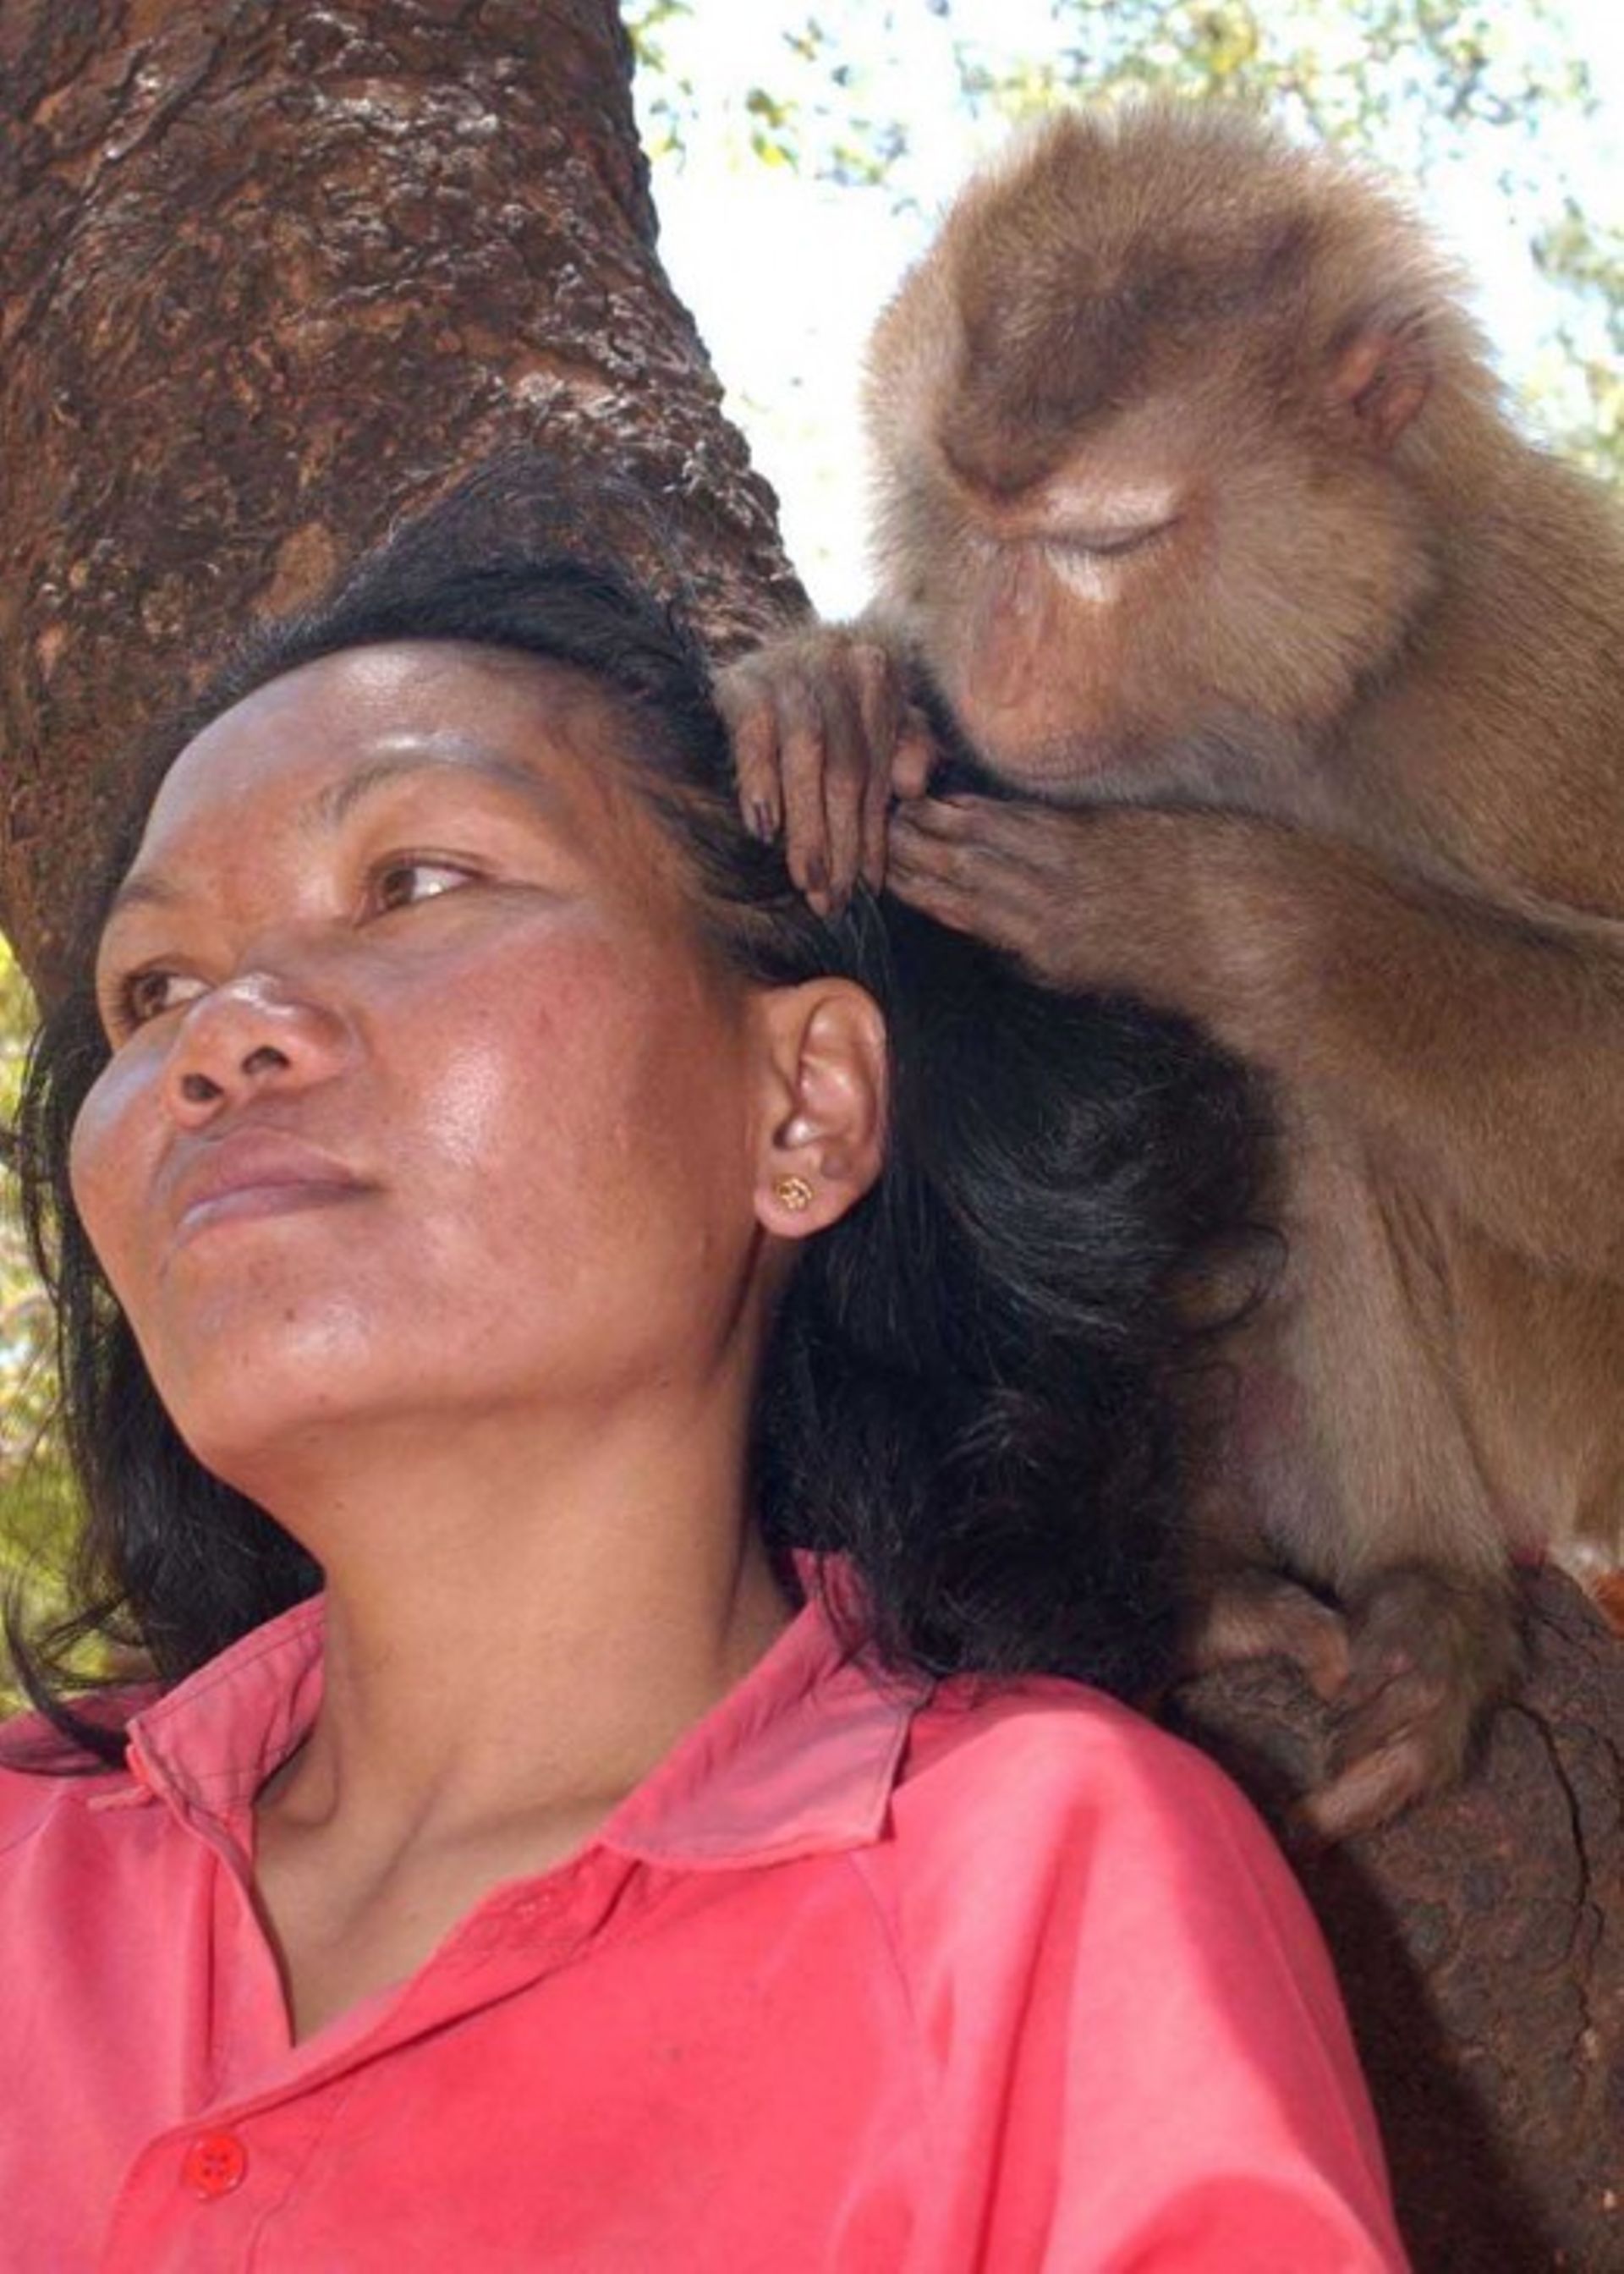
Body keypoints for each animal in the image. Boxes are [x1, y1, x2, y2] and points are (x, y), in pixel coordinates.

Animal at [716, 101, 1624, 1838]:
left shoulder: (1534, 680)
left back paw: (1431, 1597)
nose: (1001, 660)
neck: (1319, 689)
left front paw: (1184, 901)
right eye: (973, 521)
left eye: (1106, 540)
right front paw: (840, 691)